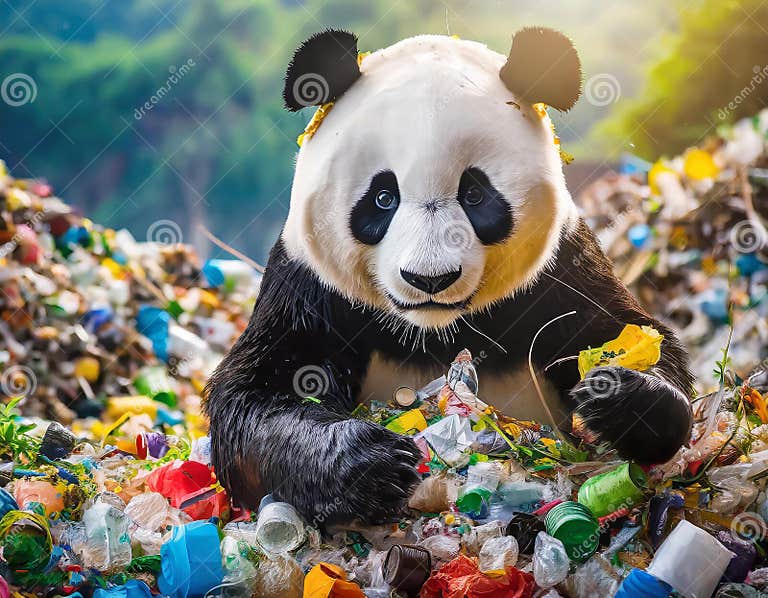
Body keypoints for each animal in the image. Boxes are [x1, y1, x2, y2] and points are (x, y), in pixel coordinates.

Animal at [205, 27, 693, 524]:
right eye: (383, 198)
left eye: (475, 194)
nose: (430, 279)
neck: (434, 333)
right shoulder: (309, 287)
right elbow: (257, 395)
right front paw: (372, 465)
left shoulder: (562, 270)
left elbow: (625, 333)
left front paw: (617, 397)